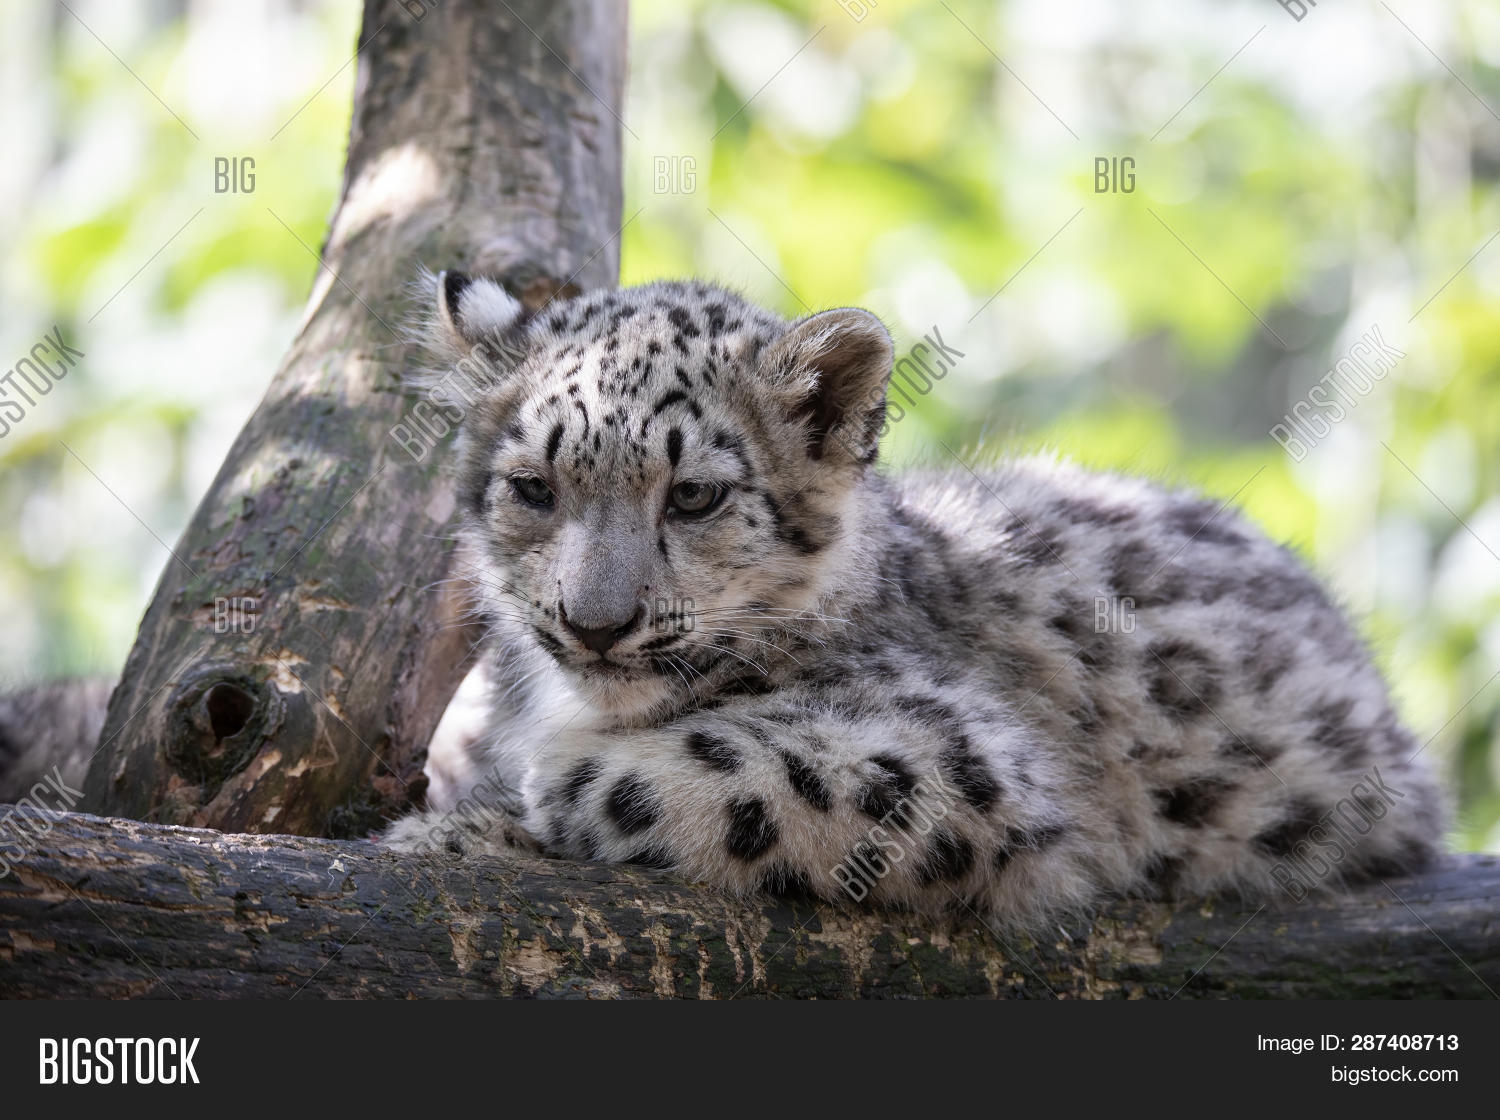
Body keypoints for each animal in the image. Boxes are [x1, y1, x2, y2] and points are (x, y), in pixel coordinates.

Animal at [381, 269, 1447, 932]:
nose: (596, 624)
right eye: (533, 488)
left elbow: (693, 772)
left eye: (693, 495)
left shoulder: (956, 758)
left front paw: (518, 795)